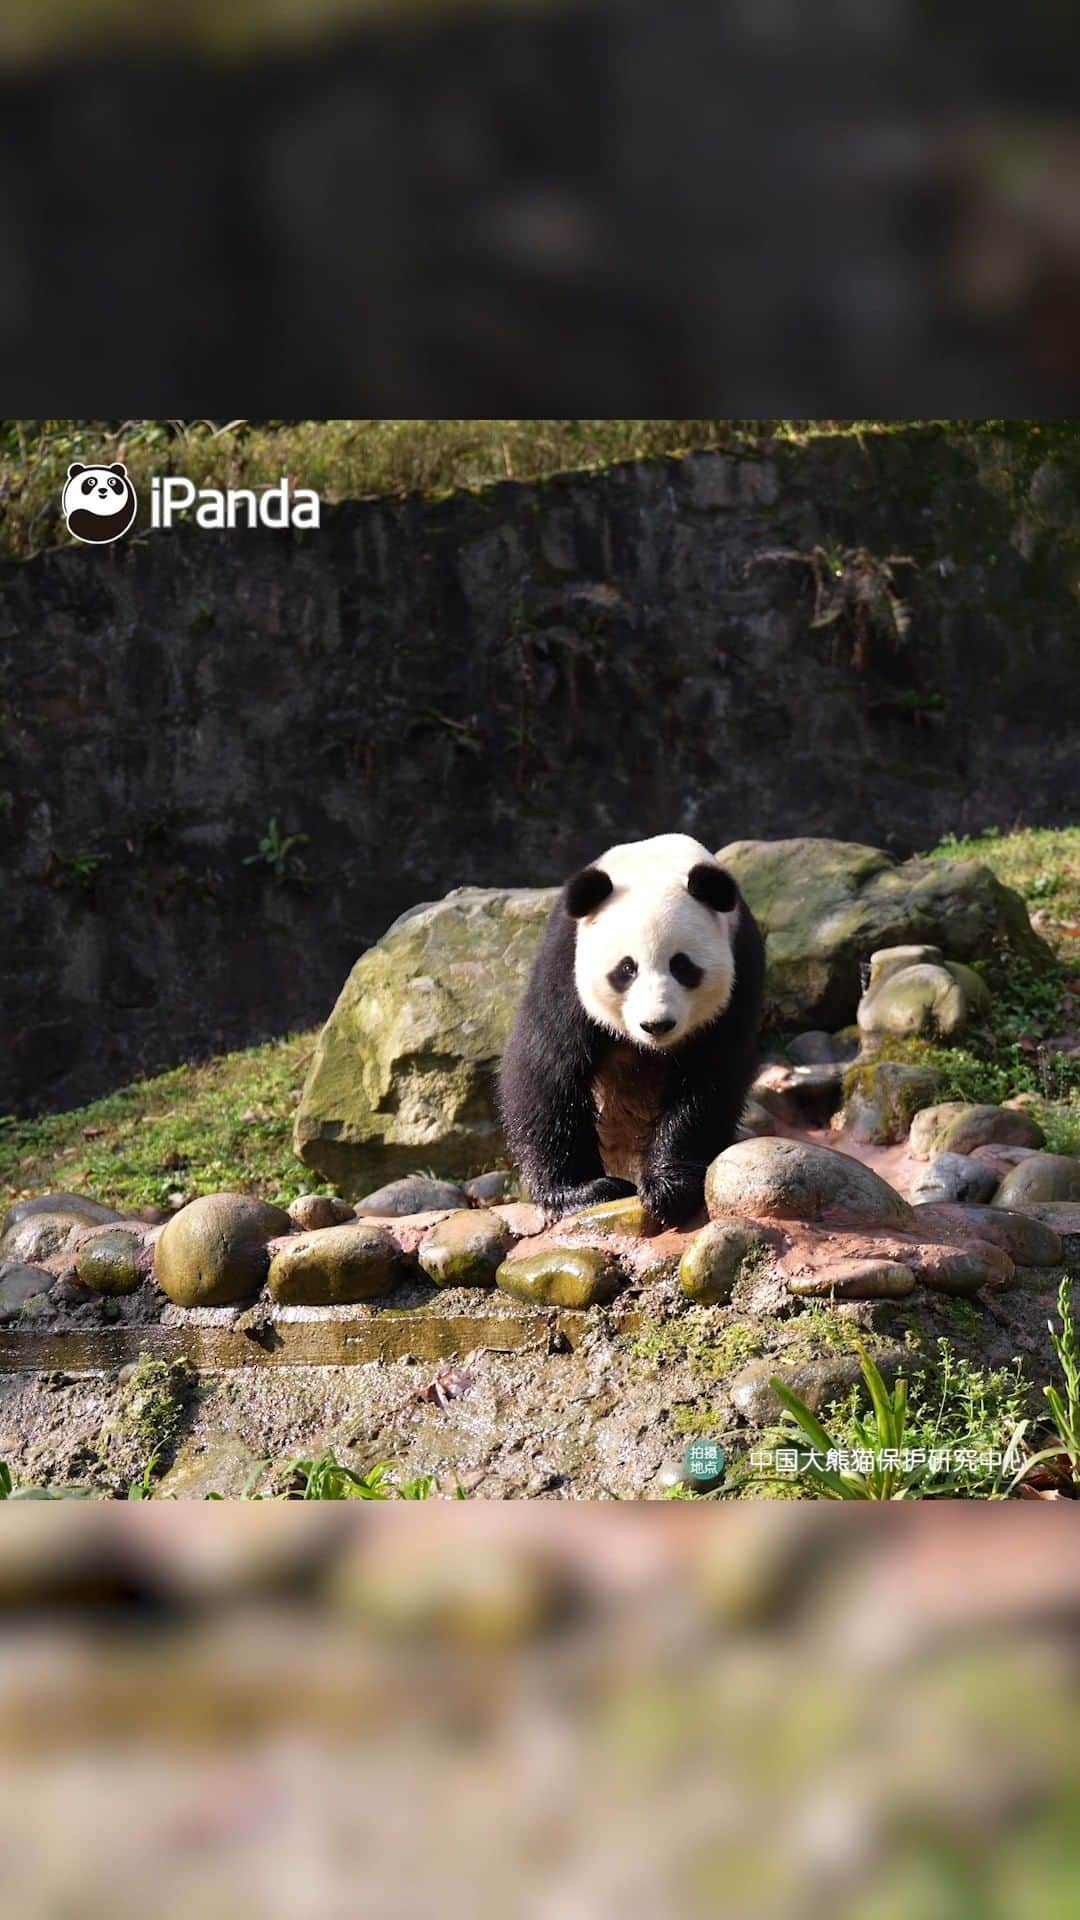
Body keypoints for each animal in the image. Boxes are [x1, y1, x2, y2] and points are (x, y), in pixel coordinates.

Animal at [499, 833, 765, 1228]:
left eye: (682, 966)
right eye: (626, 969)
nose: (657, 1024)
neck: (654, 862)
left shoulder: (741, 971)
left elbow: (710, 1081)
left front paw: (668, 1189)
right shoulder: (564, 965)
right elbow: (546, 1067)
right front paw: (581, 1192)